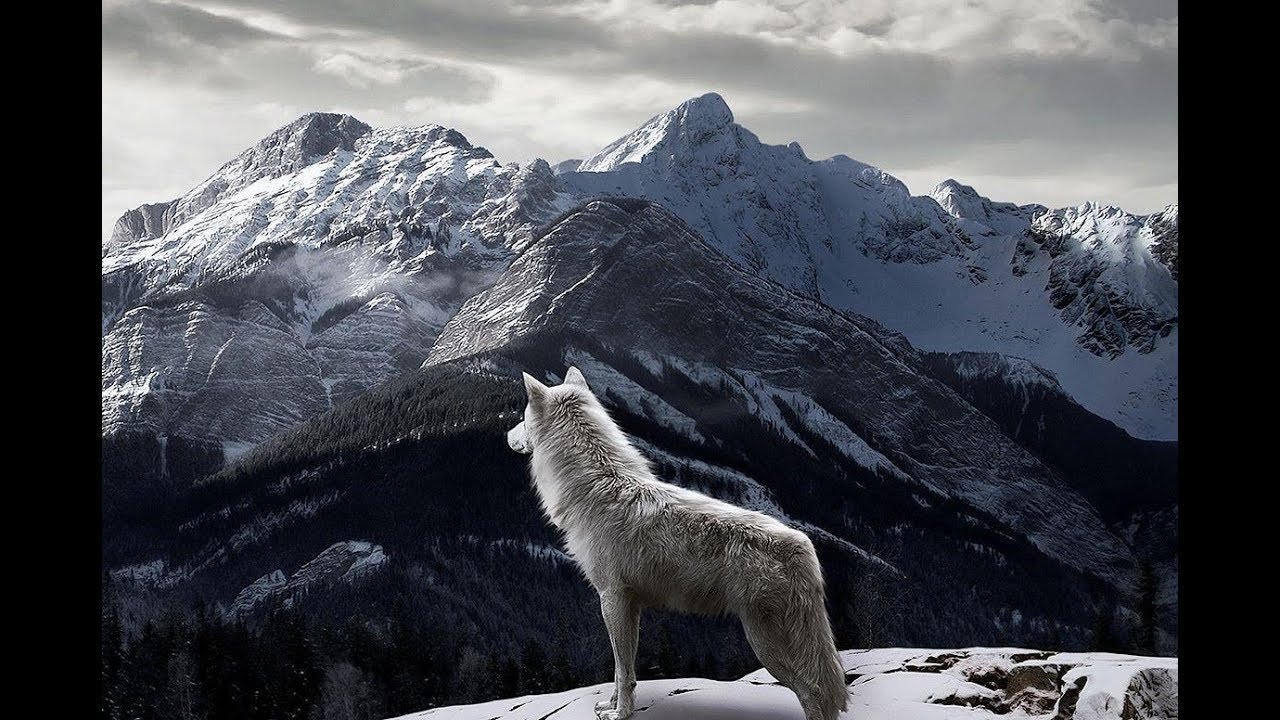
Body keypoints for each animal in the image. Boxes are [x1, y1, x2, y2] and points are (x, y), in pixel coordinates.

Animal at [507, 367, 848, 720]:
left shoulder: (611, 598)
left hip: (766, 646)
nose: (506, 434)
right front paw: (611, 705)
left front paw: (620, 713)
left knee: (814, 693)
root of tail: (802, 545)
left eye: (522, 417)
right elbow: (622, 669)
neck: (595, 487)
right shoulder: (629, 605)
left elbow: (622, 669)